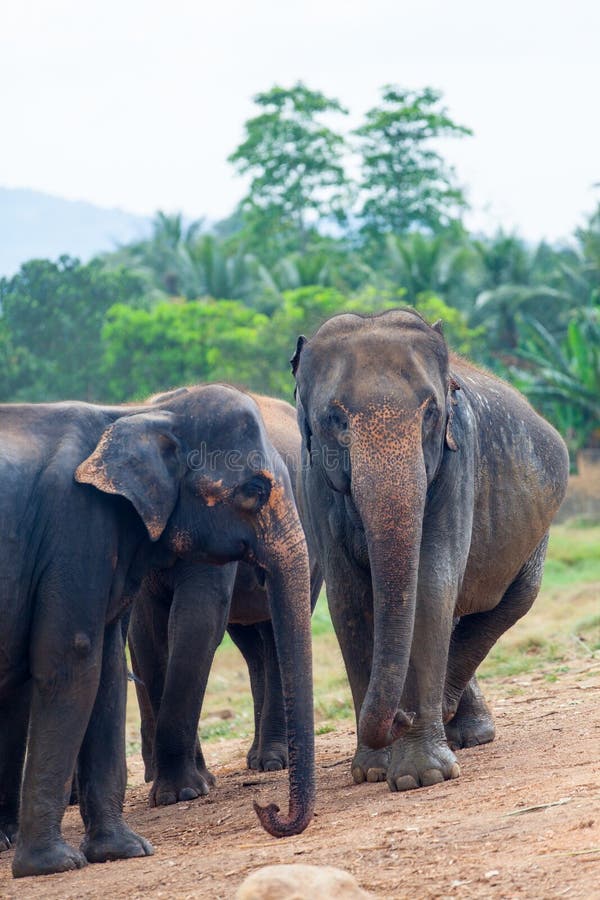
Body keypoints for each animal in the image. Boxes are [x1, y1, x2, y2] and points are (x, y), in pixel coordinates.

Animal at [128, 390, 322, 807]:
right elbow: (148, 634)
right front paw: (185, 785)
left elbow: (196, 619)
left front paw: (181, 792)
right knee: (252, 645)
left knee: (272, 638)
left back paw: (270, 761)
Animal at [292, 308, 569, 793]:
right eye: (335, 419)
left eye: (432, 413)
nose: (400, 717)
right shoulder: (314, 484)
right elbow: (349, 599)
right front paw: (373, 771)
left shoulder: (457, 462)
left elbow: (430, 584)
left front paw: (420, 777)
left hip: (537, 533)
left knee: (510, 602)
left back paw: (457, 724)